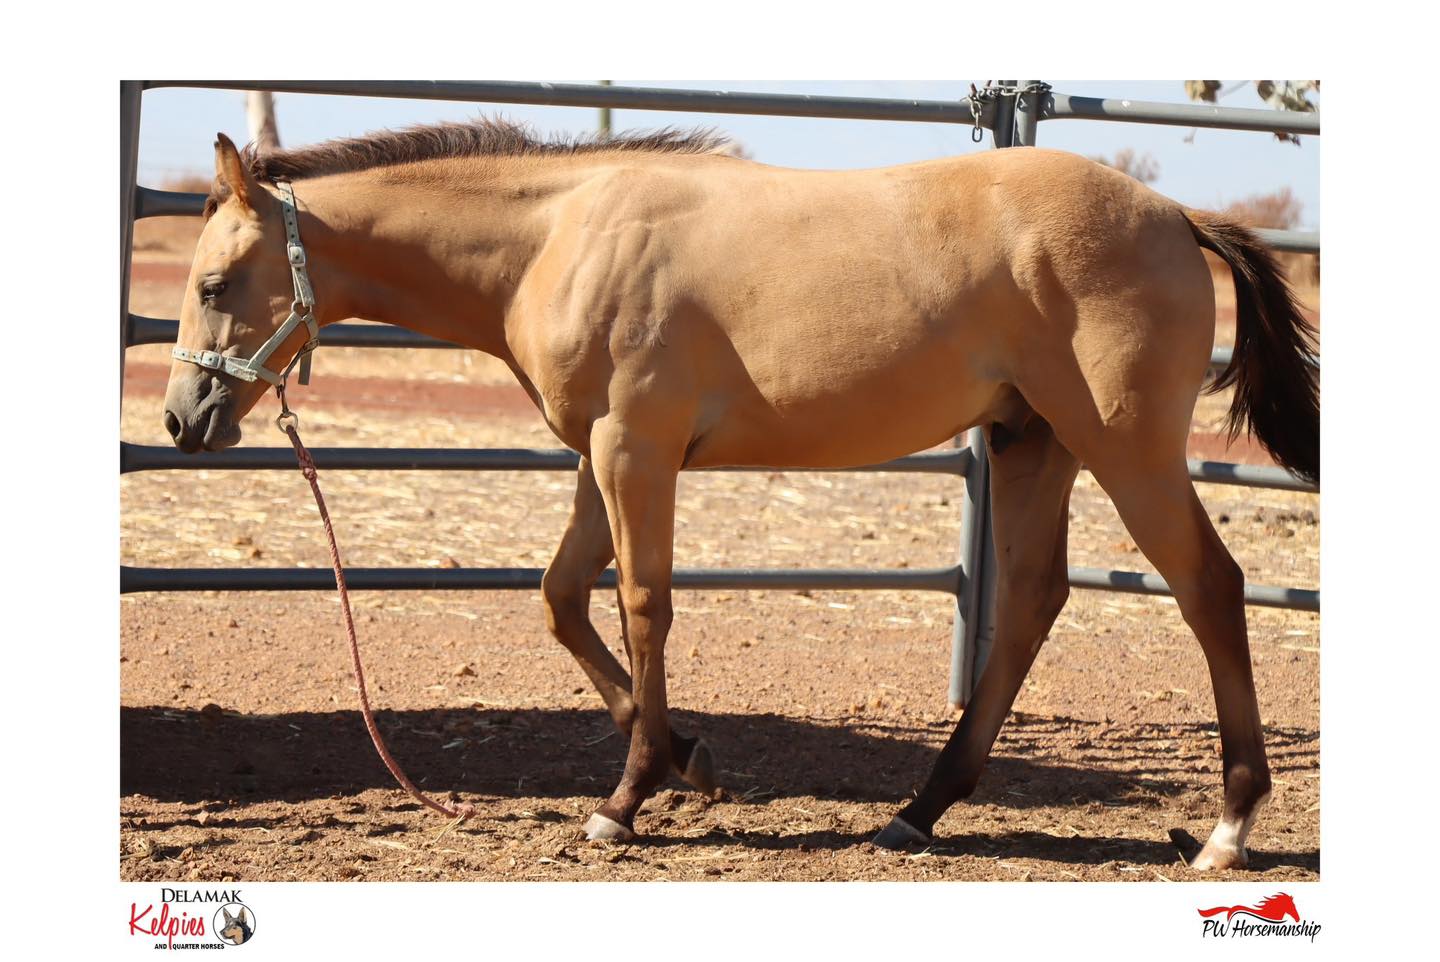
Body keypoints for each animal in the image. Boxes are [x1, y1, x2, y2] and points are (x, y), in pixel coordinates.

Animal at [161, 119, 1318, 872]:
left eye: (214, 285)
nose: (181, 420)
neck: (560, 238)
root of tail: (1176, 213)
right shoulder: (598, 457)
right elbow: (562, 599)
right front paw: (688, 759)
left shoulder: (637, 450)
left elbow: (643, 605)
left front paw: (626, 800)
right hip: (1033, 442)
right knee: (1031, 601)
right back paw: (918, 810)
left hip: (1125, 449)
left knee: (1211, 588)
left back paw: (1228, 829)